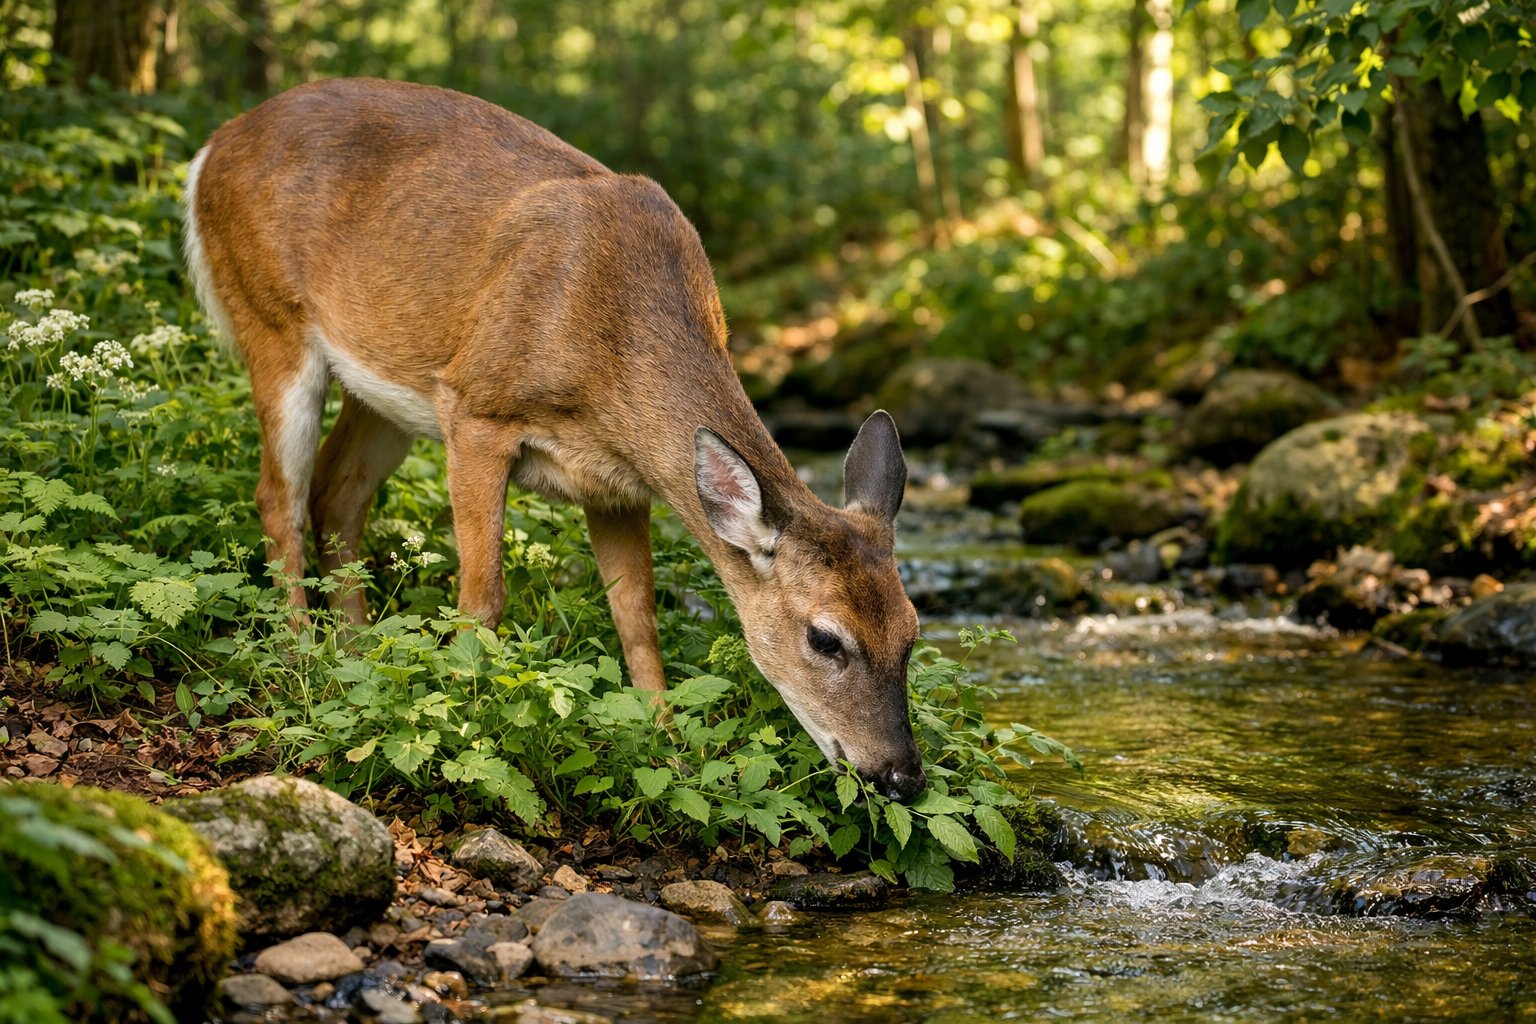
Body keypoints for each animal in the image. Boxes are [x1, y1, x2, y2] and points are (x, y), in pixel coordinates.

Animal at [182, 78, 926, 802]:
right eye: (825, 638)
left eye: (912, 634)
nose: (903, 776)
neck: (608, 350)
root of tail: (211, 148)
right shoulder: (475, 408)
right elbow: (482, 599)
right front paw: (461, 722)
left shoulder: (620, 485)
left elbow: (638, 620)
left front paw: (668, 747)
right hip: (271, 319)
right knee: (277, 496)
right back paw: (302, 660)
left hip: (382, 385)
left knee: (336, 492)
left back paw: (360, 656)